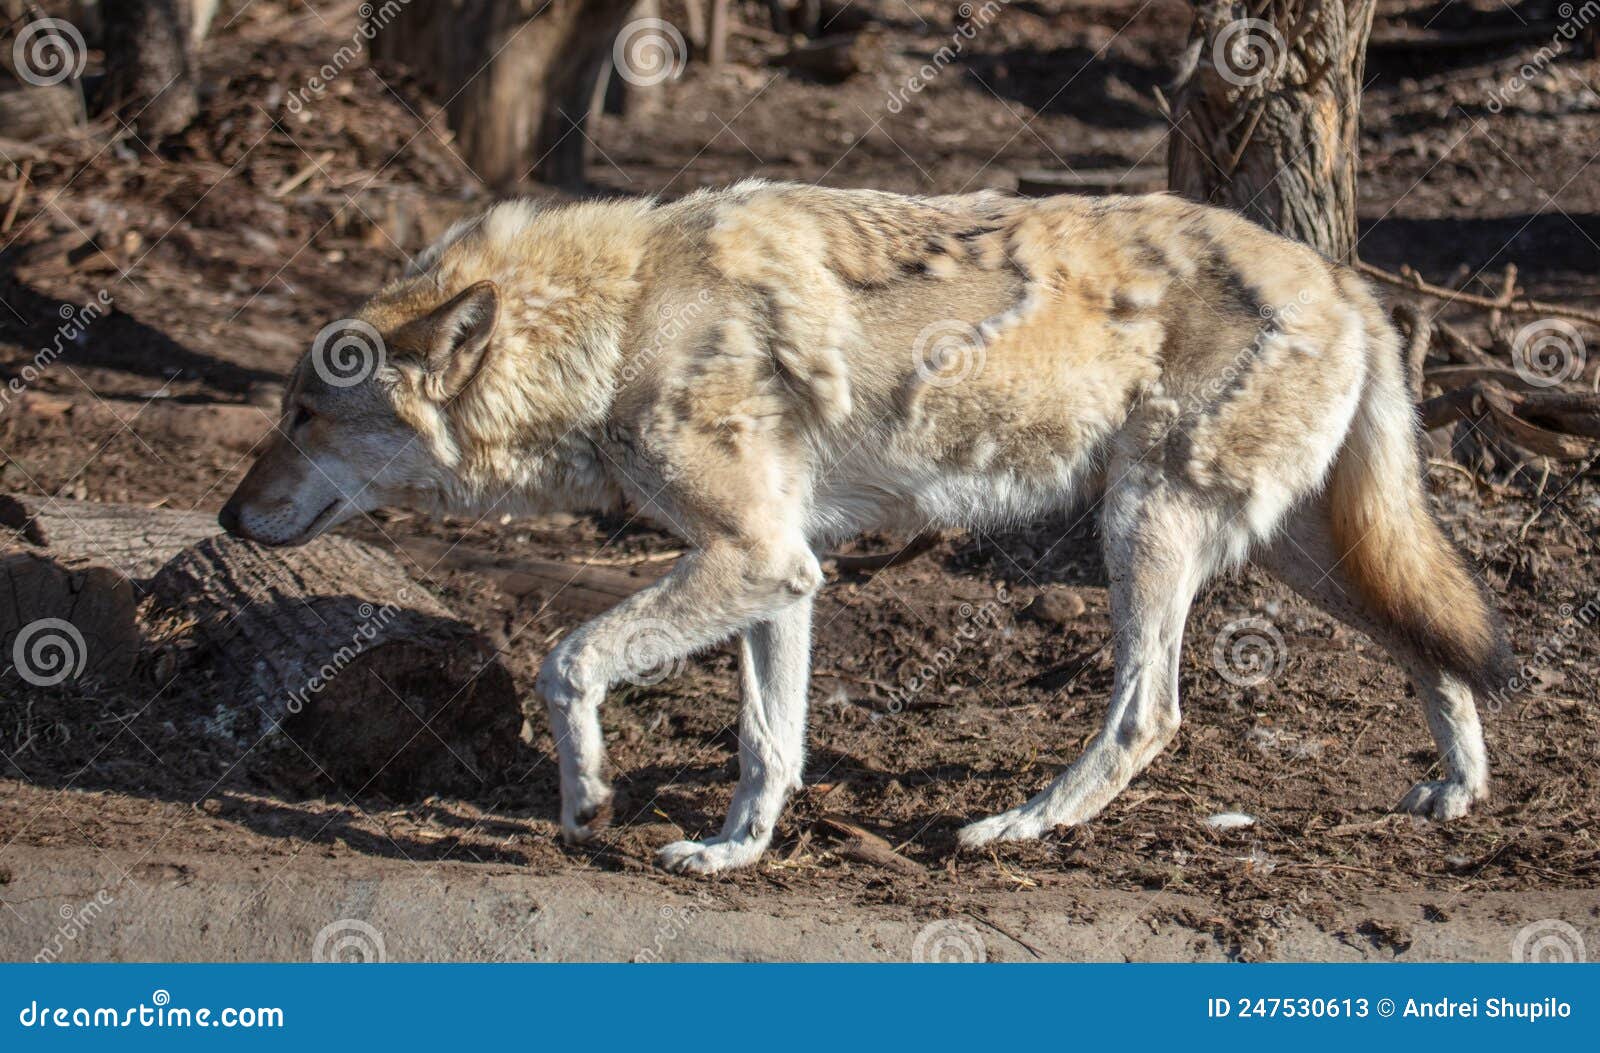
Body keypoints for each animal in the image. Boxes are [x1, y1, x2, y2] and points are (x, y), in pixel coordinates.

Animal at [220, 181, 1509, 874]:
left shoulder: (751, 557)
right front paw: (733, 854)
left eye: (300, 414)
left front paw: (586, 804)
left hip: (1145, 534)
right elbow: (768, 746)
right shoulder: (784, 574)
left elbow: (566, 660)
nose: (229, 517)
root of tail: (1345, 279)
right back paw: (1457, 791)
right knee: (1437, 646)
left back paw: (1018, 826)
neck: (623, 320)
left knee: (1148, 716)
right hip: (1300, 553)